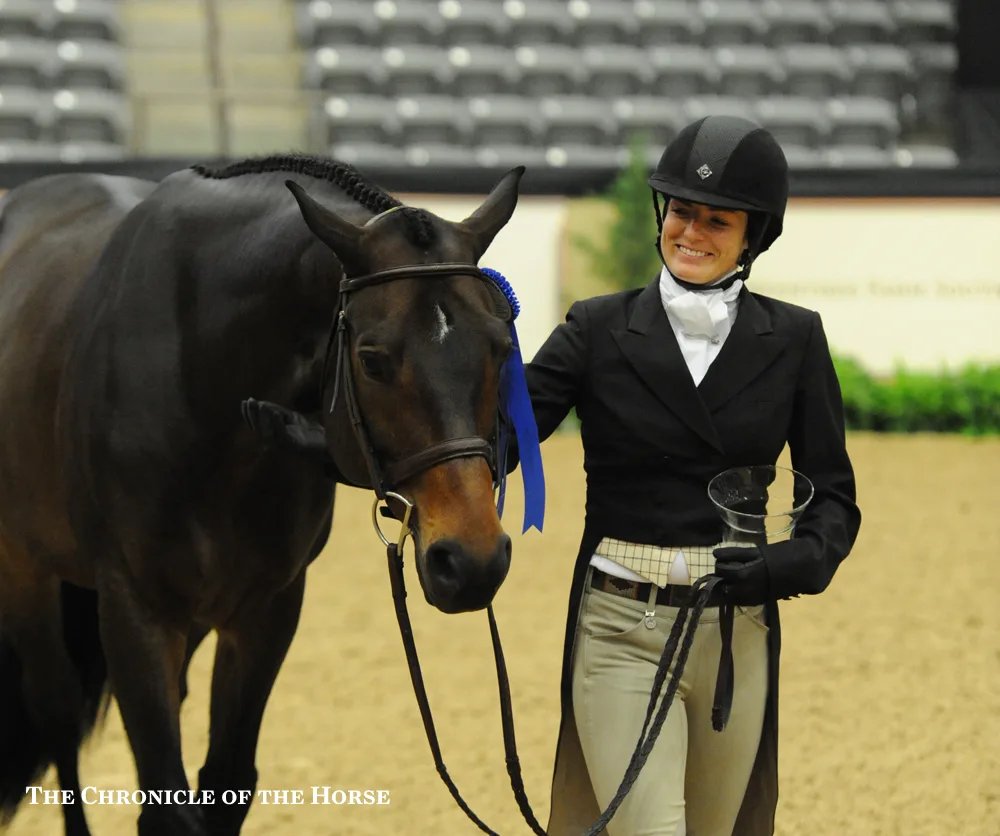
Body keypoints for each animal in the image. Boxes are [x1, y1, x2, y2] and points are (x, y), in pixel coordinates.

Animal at [0, 154, 525, 836]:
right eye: (372, 359)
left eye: (502, 348)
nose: (471, 561)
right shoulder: (133, 607)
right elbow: (166, 798)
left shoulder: (266, 608)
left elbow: (225, 781)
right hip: (24, 566)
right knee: (57, 707)